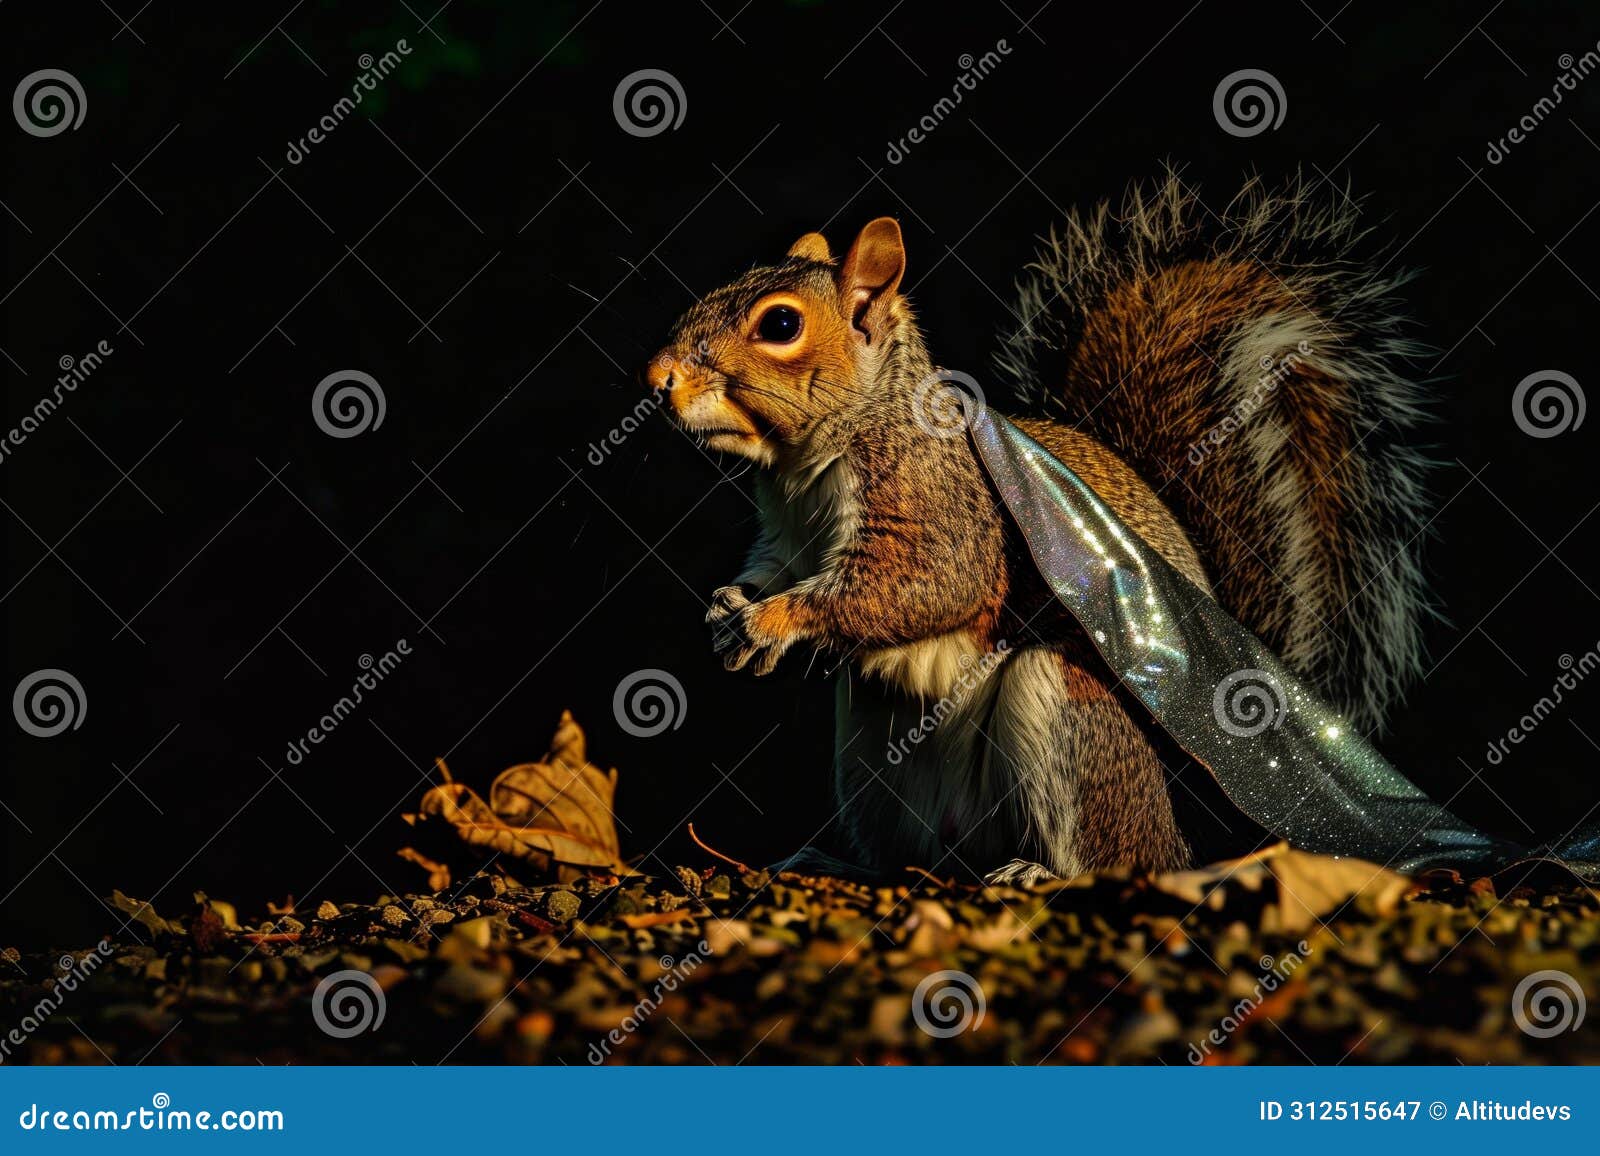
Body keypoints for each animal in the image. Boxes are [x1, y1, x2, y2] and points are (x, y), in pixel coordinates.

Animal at [644, 170, 1432, 884]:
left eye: (780, 325)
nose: (658, 378)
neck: (805, 461)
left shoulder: (937, 502)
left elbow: (926, 585)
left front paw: (773, 621)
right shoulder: (786, 534)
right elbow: (773, 569)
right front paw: (729, 610)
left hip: (1070, 716)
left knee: (1116, 857)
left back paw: (1036, 872)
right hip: (870, 748)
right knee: (910, 861)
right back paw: (834, 862)